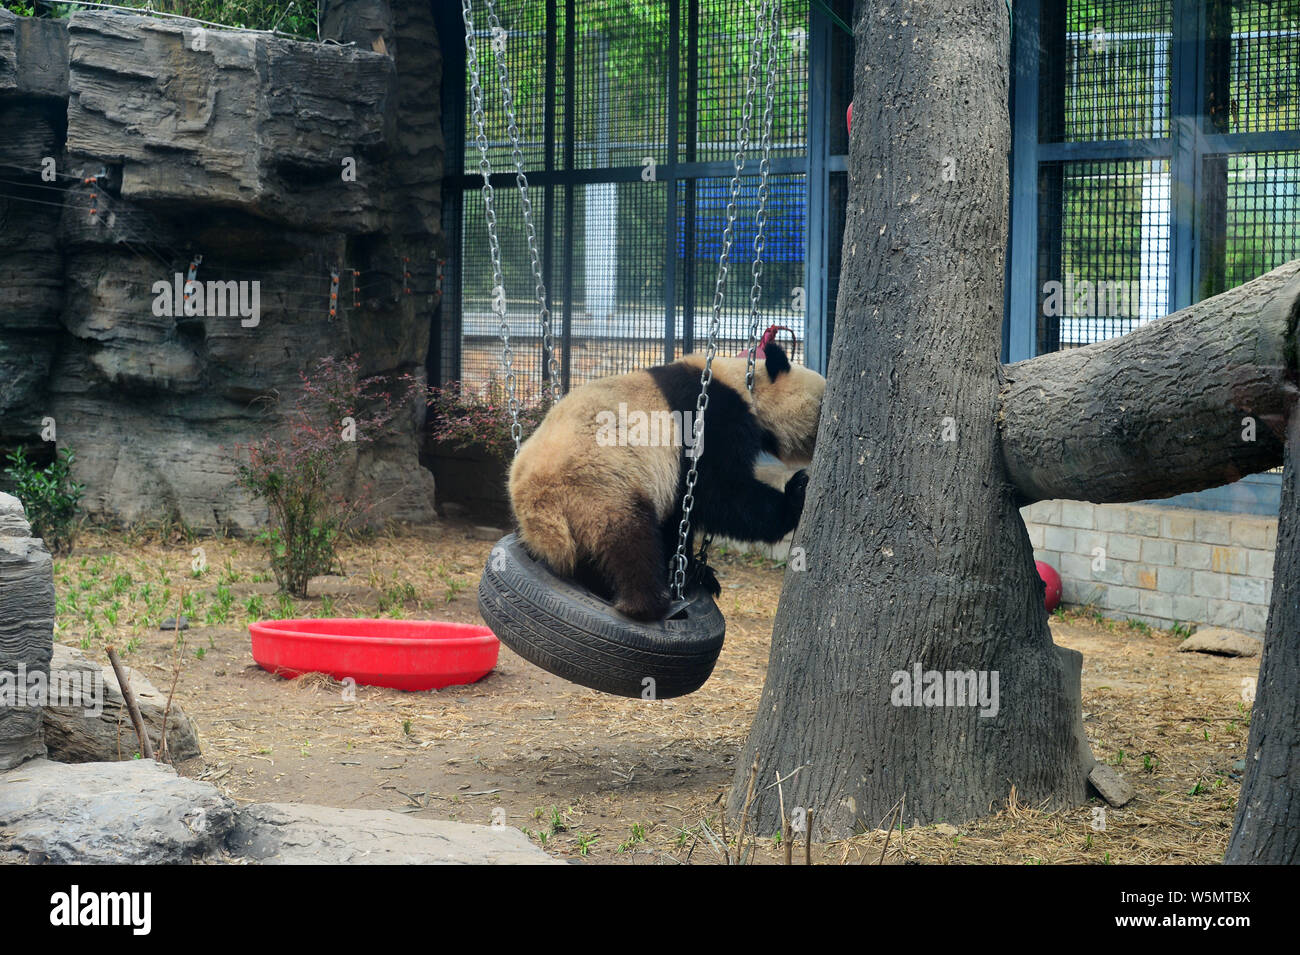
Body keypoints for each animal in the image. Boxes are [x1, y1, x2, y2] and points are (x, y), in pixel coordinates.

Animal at [508, 343, 826, 621]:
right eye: (822, 401)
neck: (746, 384)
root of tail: (536, 506)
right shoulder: (709, 421)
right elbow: (720, 493)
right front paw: (796, 494)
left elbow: (683, 514)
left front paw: (697, 572)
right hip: (599, 485)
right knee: (629, 540)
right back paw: (647, 604)